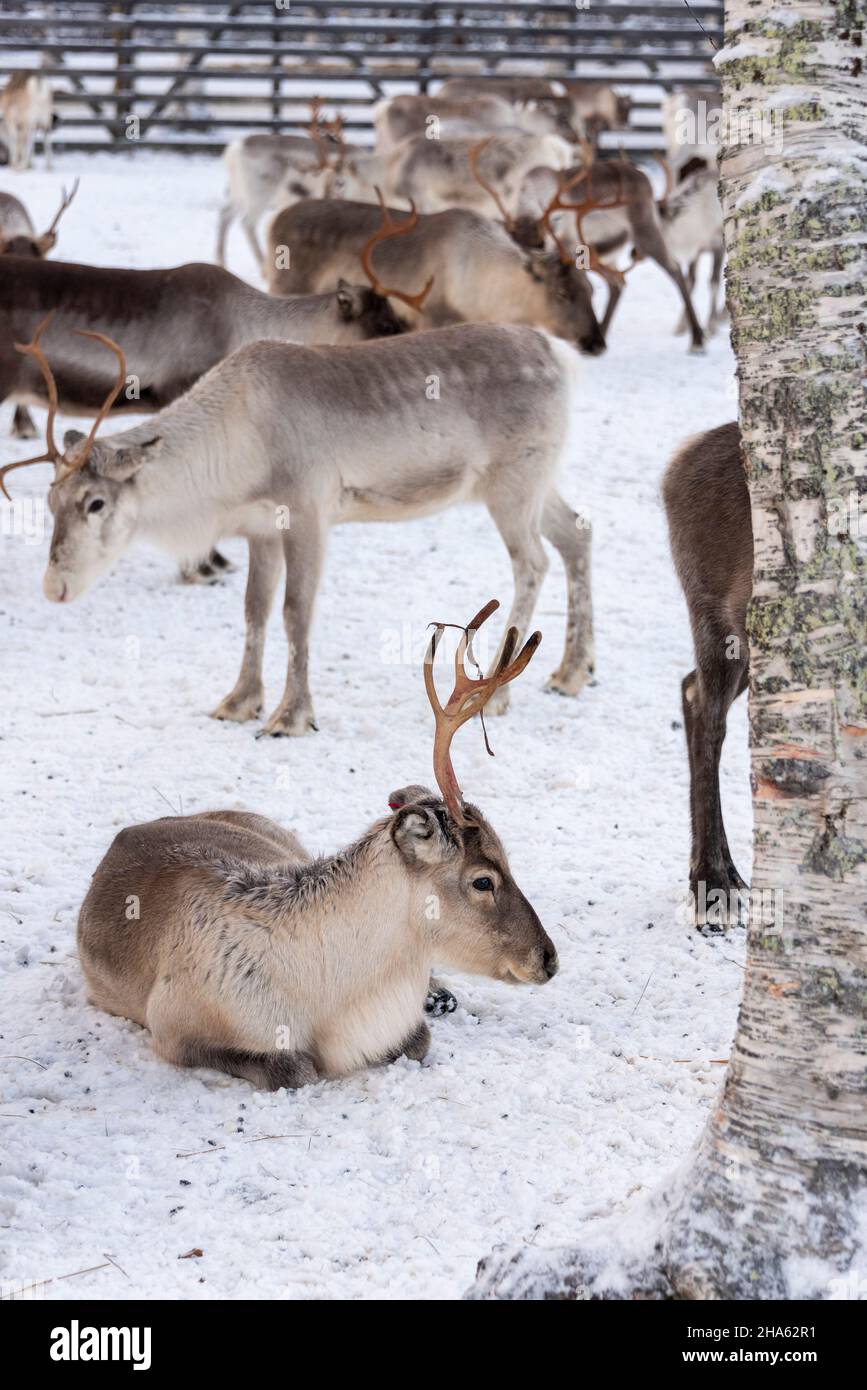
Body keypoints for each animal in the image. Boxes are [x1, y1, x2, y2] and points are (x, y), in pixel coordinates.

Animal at [2, 312, 593, 735]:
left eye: (95, 503)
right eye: (52, 500)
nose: (55, 586)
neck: (233, 449)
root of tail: (563, 355)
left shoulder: (308, 512)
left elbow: (295, 612)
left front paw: (291, 716)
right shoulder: (260, 528)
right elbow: (255, 610)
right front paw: (239, 701)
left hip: (514, 484)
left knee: (533, 561)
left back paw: (499, 693)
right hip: (532, 484)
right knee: (578, 533)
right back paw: (572, 672)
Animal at [75, 600, 559, 1090]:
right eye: (483, 880)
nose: (549, 958)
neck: (334, 993)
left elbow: (419, 1039)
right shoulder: (172, 1026)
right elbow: (296, 1067)